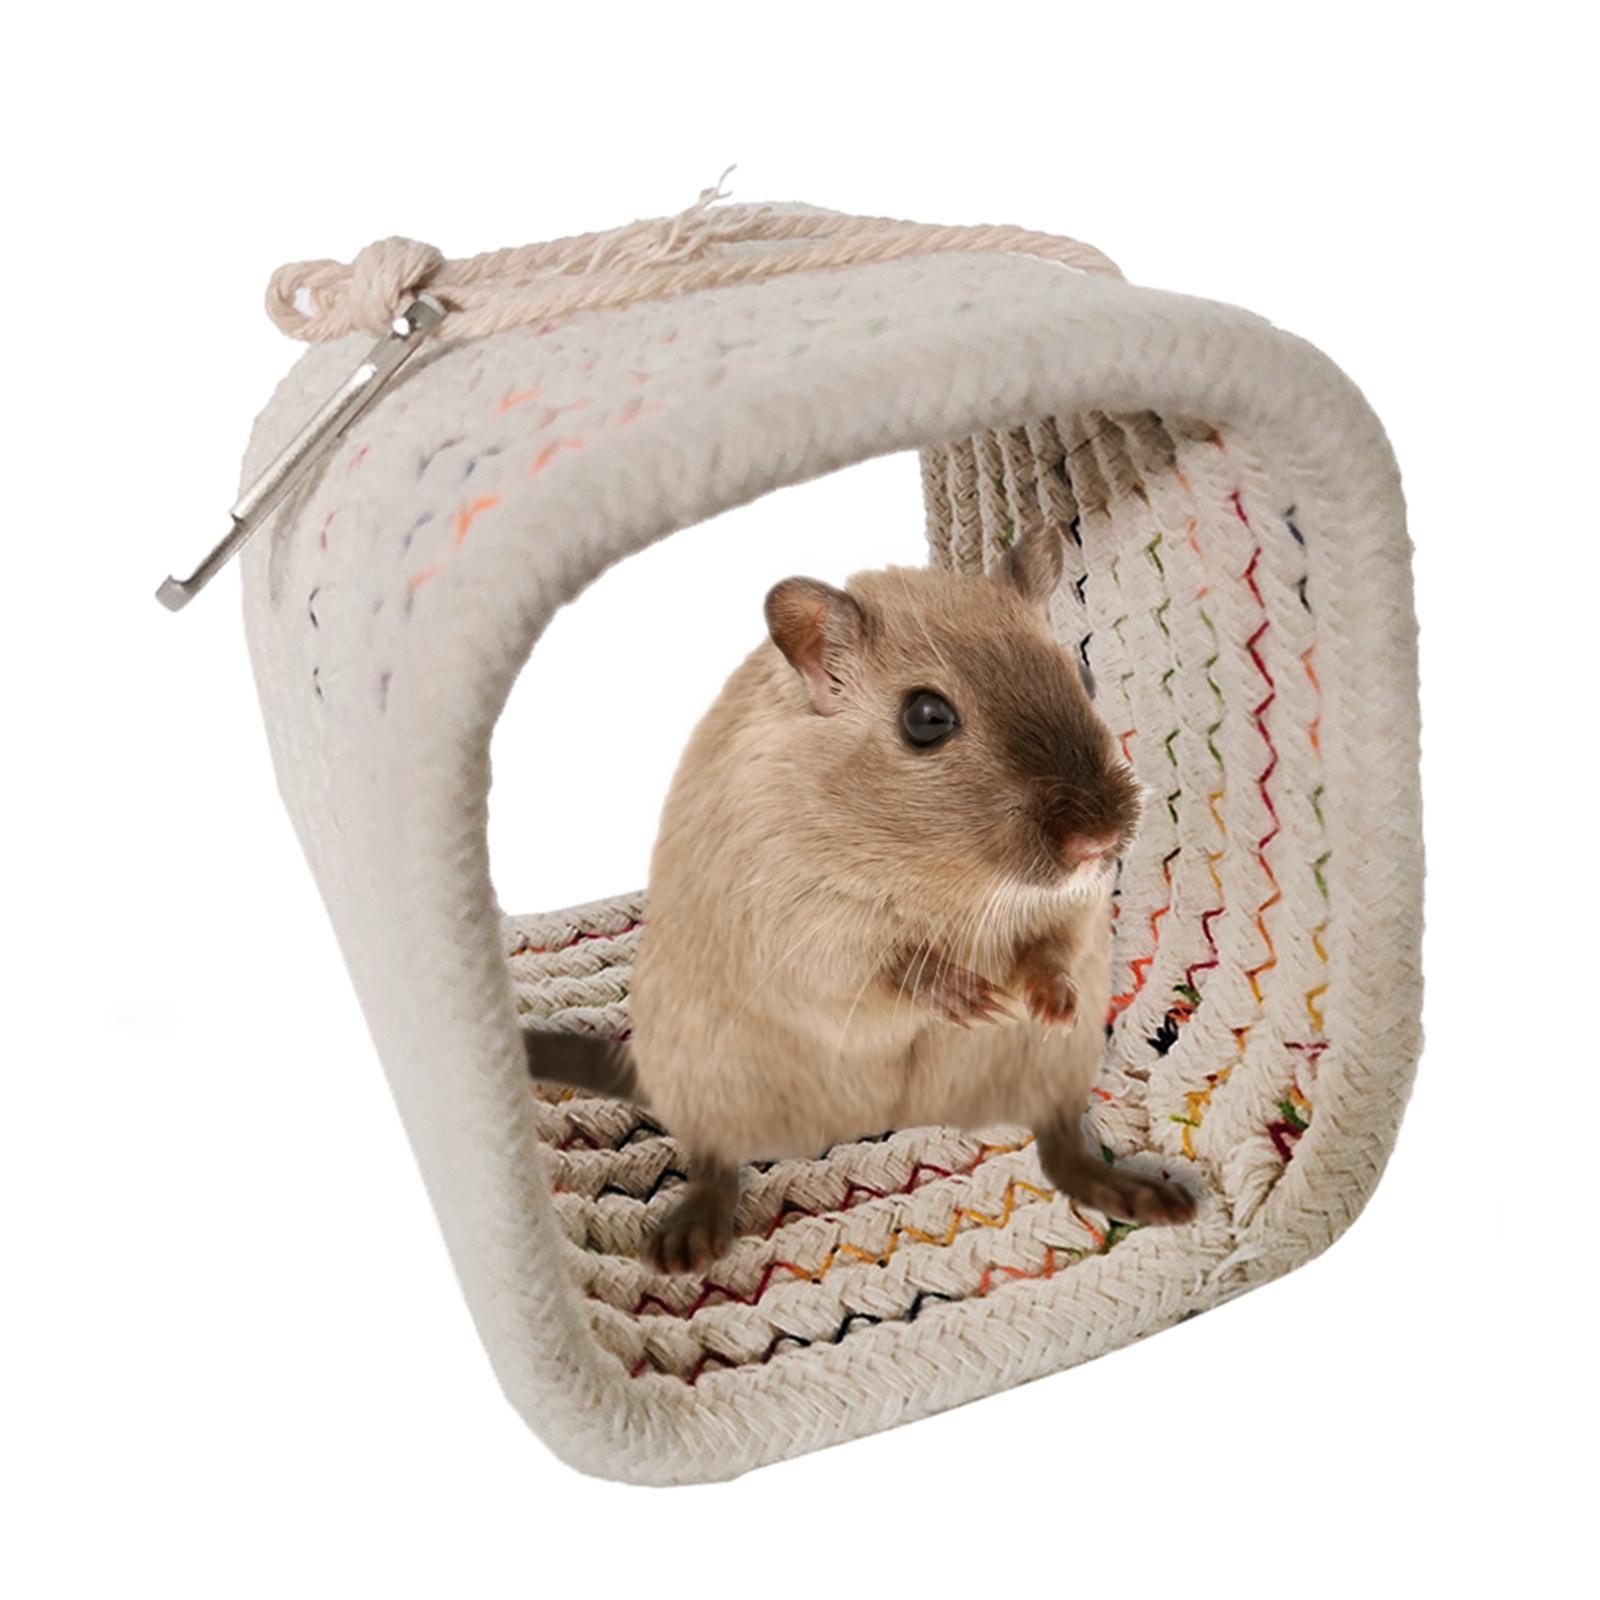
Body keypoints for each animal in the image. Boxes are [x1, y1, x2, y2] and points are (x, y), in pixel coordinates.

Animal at [525, 524, 1196, 1271]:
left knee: (1060, 1150)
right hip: (708, 1072)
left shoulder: (1071, 908)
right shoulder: (804, 931)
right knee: (714, 1160)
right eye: (926, 718)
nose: (1098, 839)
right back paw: (685, 1244)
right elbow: (886, 970)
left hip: (1049, 1070)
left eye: (1083, 677)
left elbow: (1053, 946)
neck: (950, 874)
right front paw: (971, 998)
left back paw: (1149, 1196)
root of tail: (876, 1120)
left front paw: (1051, 1001)